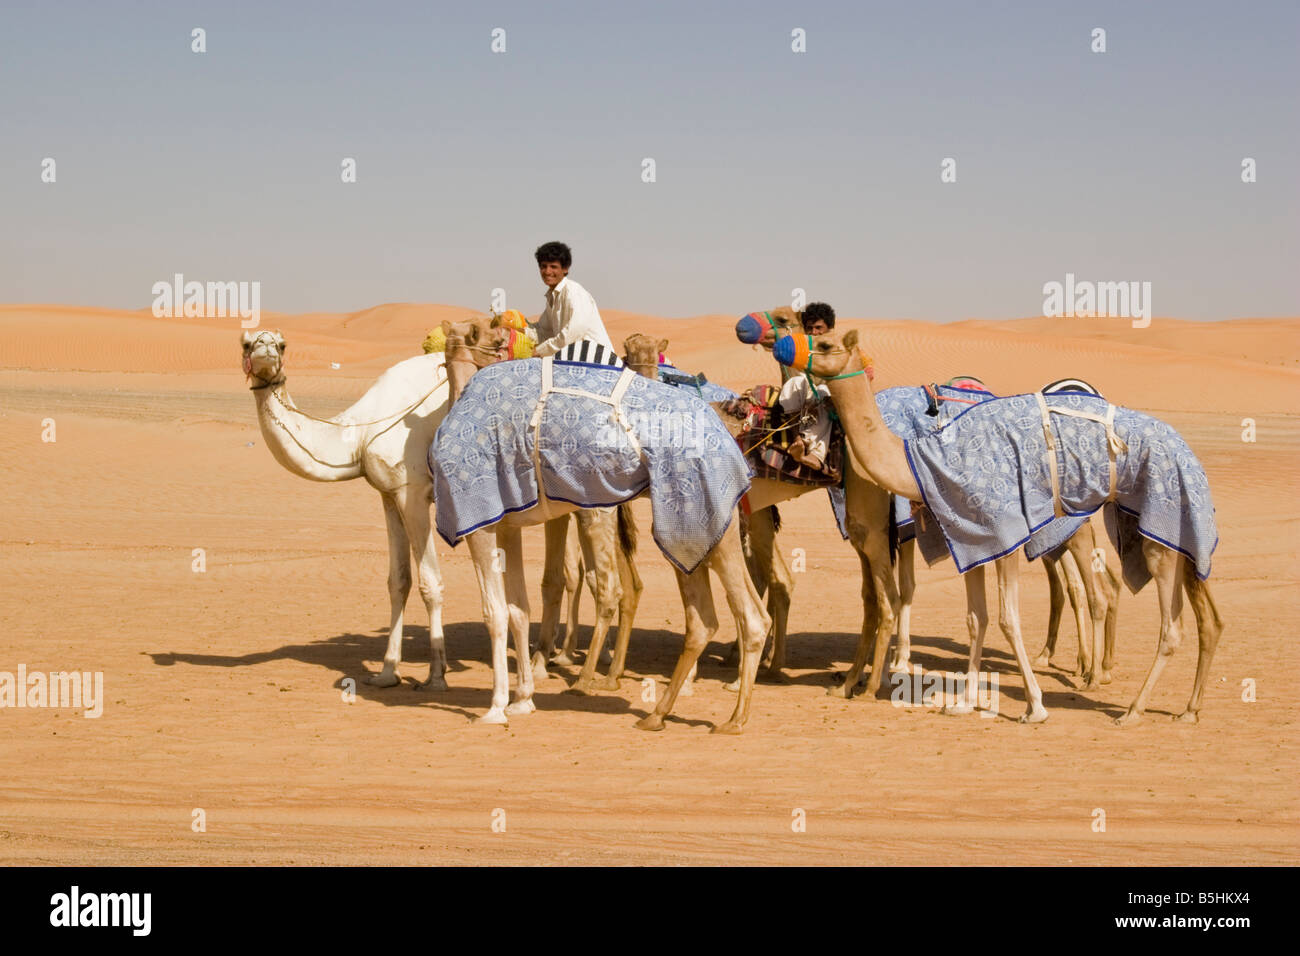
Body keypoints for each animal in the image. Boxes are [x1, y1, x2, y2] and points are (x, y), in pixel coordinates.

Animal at [241, 329, 450, 690]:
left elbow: (430, 584)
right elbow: (399, 581)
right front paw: (386, 674)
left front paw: (436, 676)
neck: (360, 433)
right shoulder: (390, 494)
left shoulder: (413, 493)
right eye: (245, 343)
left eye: (282, 344)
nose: (265, 347)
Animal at [435, 323, 772, 731]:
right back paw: (657, 712)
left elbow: (496, 612)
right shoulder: (507, 523)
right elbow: (519, 608)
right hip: (698, 524)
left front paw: (496, 706)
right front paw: (522, 699)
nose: (501, 343)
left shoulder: (477, 519)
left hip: (692, 514)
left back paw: (731, 718)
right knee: (702, 618)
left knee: (744, 615)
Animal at [775, 326, 1224, 725]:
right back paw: (1187, 709)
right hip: (1168, 531)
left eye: (825, 342)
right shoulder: (971, 539)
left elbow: (1007, 618)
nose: (782, 345)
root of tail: (1189, 452)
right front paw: (963, 703)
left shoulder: (1003, 532)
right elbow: (977, 618)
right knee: (1204, 615)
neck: (920, 458)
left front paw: (1035, 707)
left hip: (1156, 529)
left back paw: (1127, 706)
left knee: (1162, 622)